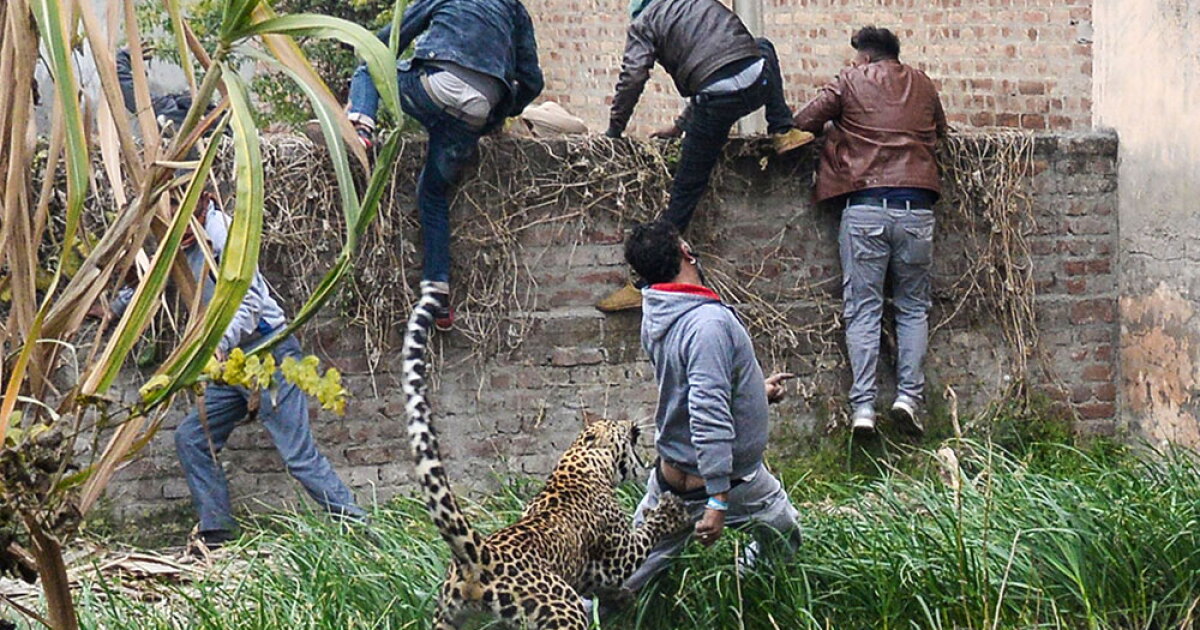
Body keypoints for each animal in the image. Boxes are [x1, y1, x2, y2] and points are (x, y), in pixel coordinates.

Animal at [400, 290, 690, 629]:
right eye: (613, 423)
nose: (630, 422)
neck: (581, 462)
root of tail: (481, 557)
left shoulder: (589, 573)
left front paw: (622, 598)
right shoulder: (619, 552)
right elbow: (645, 534)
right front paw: (670, 513)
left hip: (447, 618)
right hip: (564, 612)